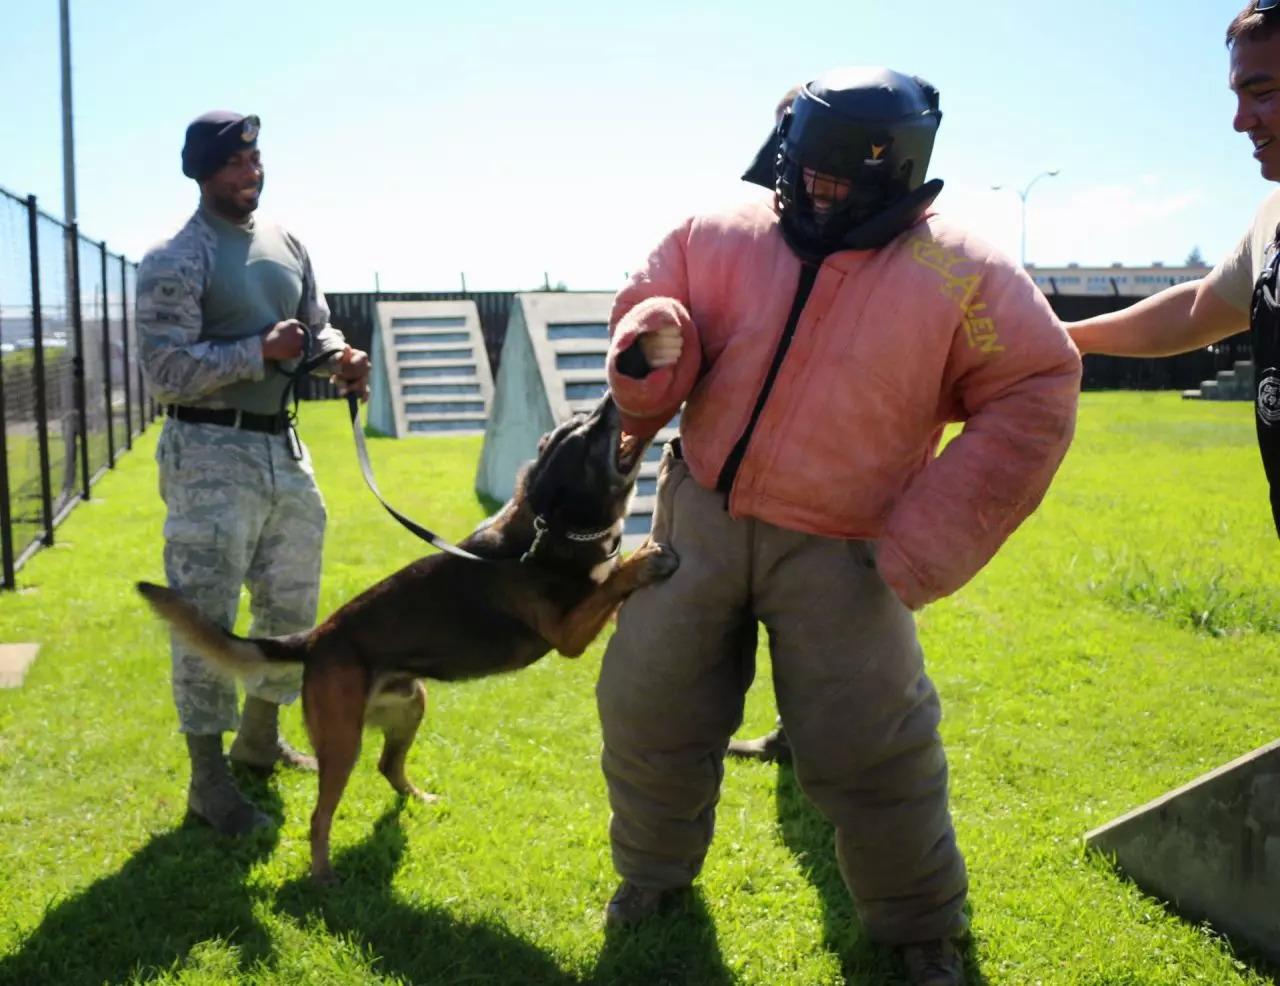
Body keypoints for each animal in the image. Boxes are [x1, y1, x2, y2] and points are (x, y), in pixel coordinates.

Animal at [137, 391, 680, 880]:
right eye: (589, 436)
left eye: (583, 422)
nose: (609, 397)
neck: (548, 531)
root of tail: (315, 640)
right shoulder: (568, 635)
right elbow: (612, 581)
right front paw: (643, 558)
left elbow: (604, 584)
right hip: (342, 745)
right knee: (319, 816)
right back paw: (322, 878)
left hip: (412, 705)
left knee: (387, 766)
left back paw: (418, 800)